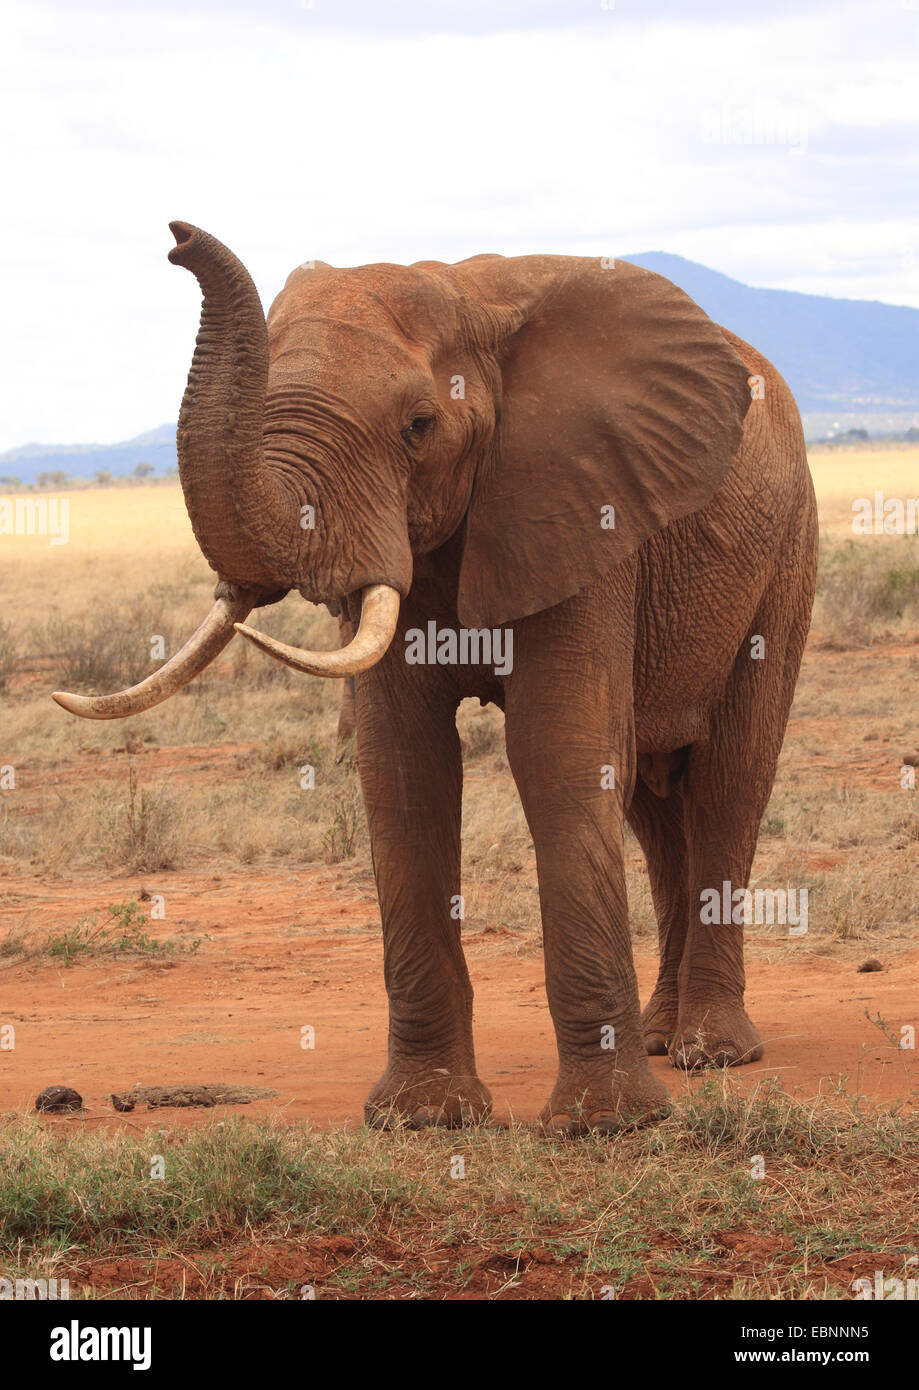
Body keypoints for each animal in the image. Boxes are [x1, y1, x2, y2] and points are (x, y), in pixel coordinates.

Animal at [53, 223, 818, 1135]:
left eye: (418, 426)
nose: (176, 238)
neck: (468, 301)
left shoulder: (586, 506)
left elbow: (558, 751)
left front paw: (604, 1125)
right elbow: (401, 765)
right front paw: (425, 1118)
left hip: (786, 554)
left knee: (729, 780)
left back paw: (713, 1053)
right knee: (652, 805)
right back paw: (664, 1038)